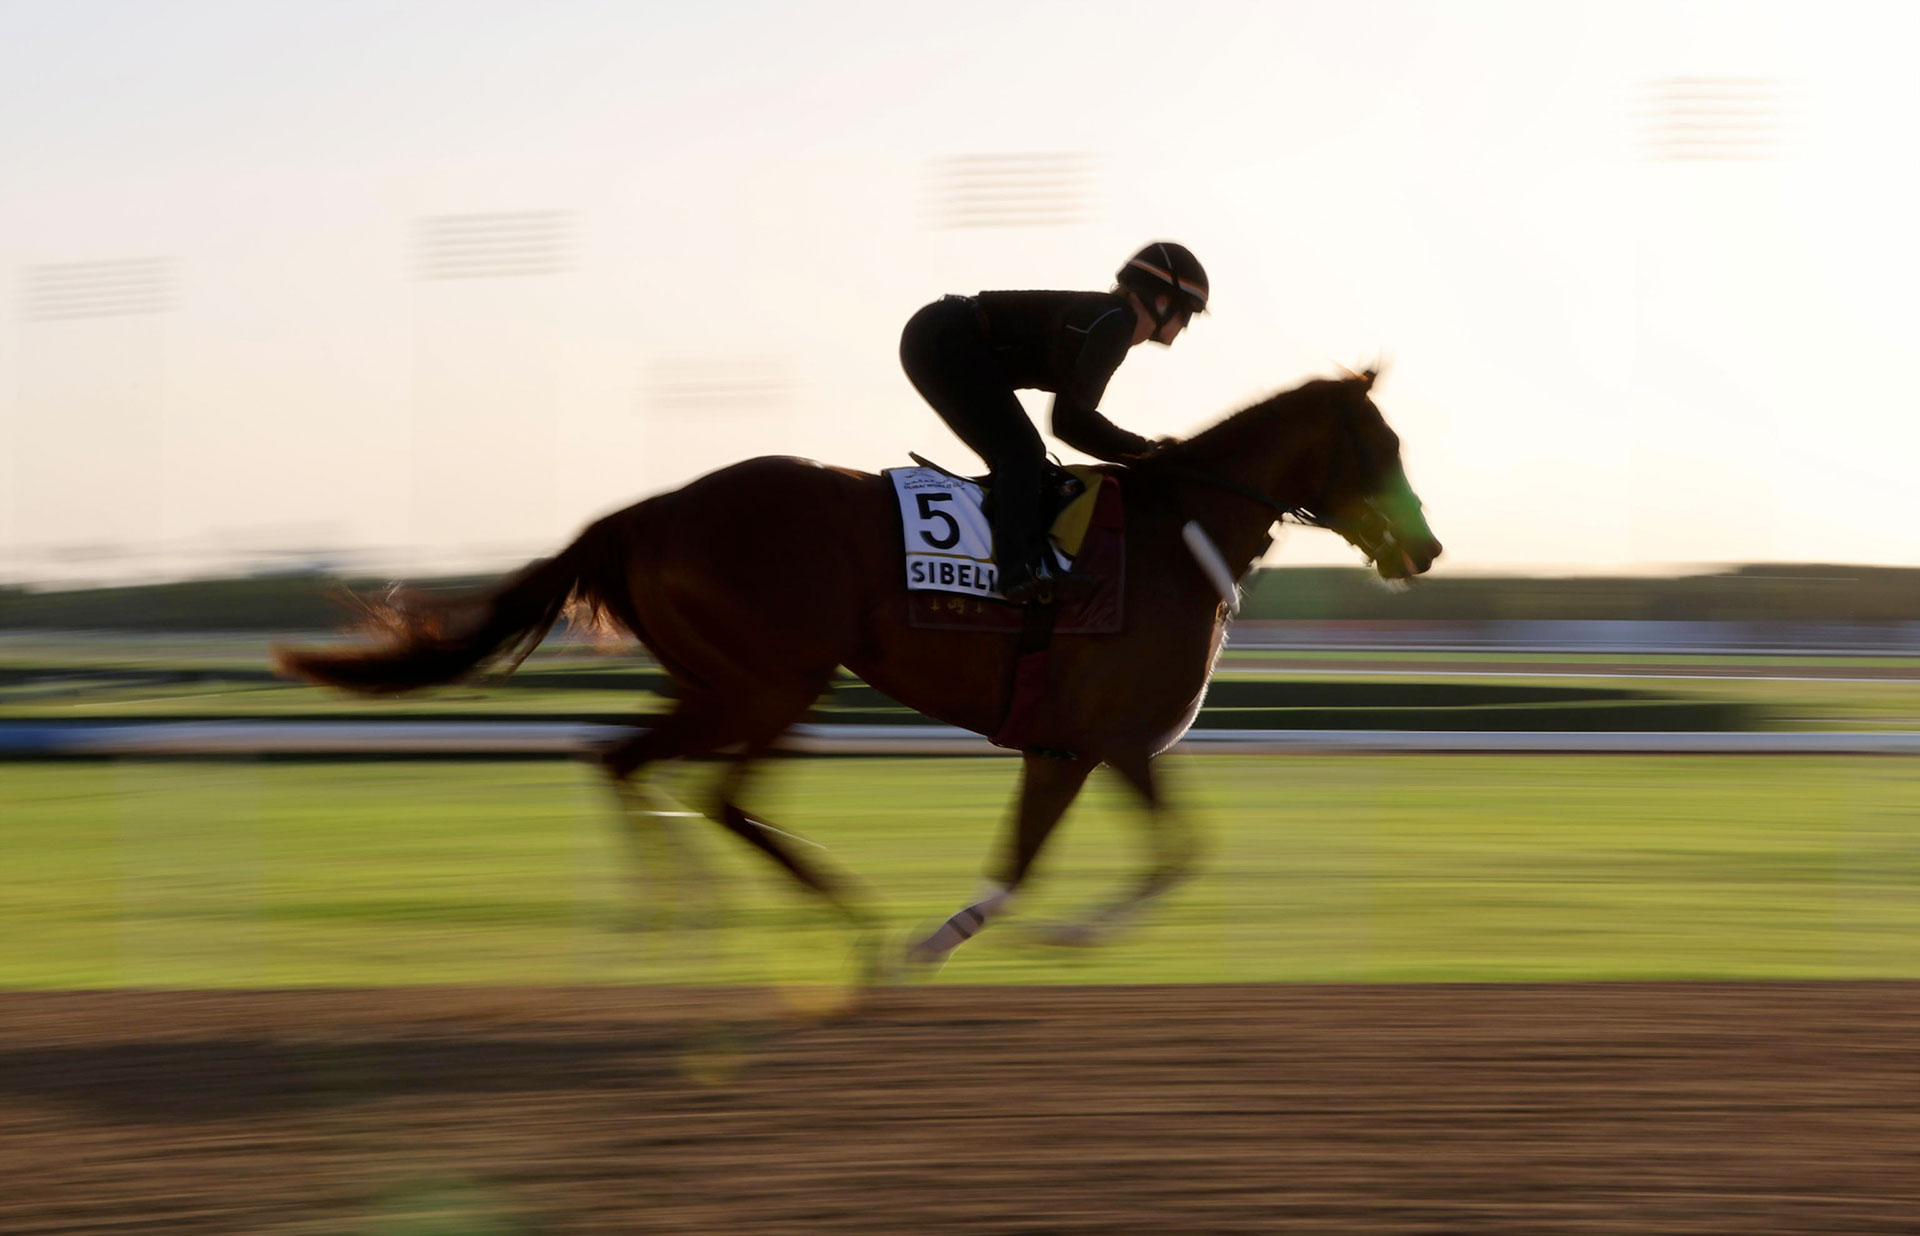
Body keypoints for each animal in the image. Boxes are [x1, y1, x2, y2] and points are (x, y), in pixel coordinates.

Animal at [274, 369, 1441, 967]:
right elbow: (1134, 858)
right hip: (774, 681)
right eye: (1383, 446)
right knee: (713, 790)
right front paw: (1011, 934)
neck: (1177, 529)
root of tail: (649, 511)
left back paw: (681, 911)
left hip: (718, 680)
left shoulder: (1084, 747)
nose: (1425, 550)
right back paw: (838, 909)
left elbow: (1111, 854)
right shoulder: (1098, 741)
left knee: (620, 757)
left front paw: (987, 933)